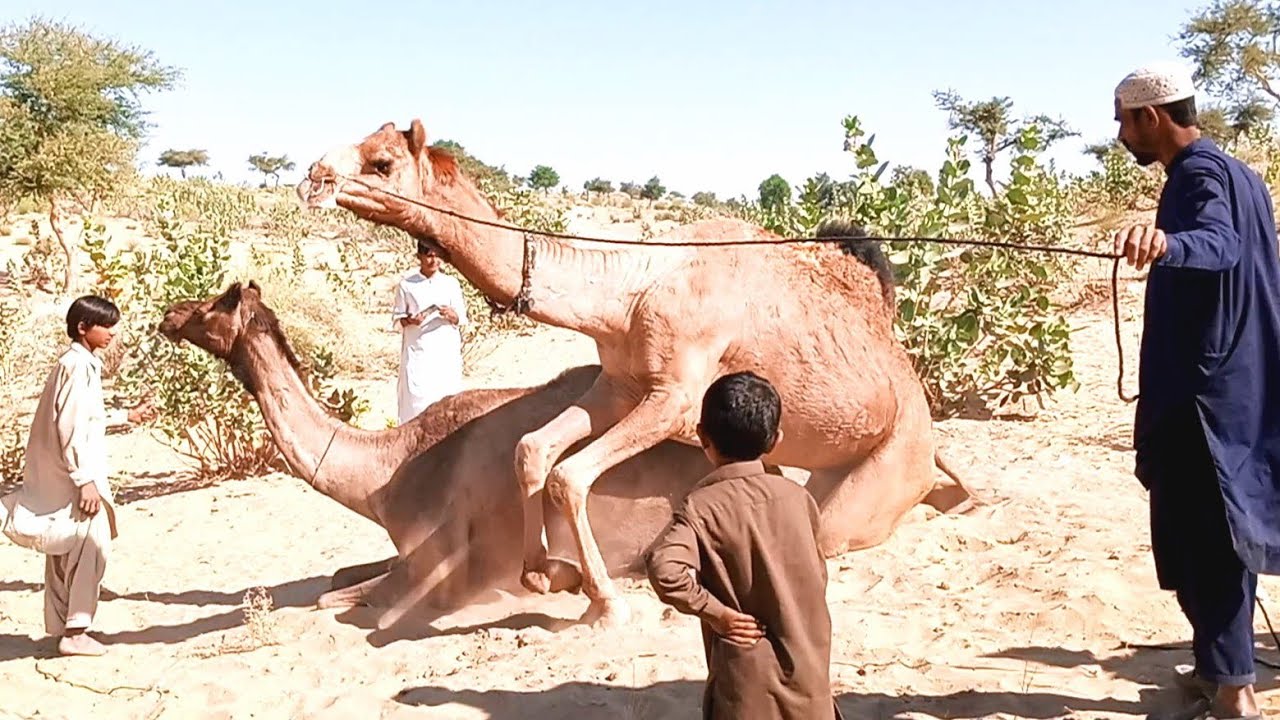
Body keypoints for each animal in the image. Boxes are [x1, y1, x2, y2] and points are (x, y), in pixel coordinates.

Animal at [157, 281, 716, 630]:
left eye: (216, 302)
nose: (169, 314)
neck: (384, 475)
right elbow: (337, 577)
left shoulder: (438, 567)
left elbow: (331, 596)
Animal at [296, 119, 979, 627]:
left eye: (382, 161)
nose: (312, 177)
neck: (633, 288)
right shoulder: (618, 384)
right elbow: (531, 450)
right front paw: (543, 572)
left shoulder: (675, 397)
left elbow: (571, 476)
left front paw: (604, 604)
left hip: (894, 458)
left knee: (840, 526)